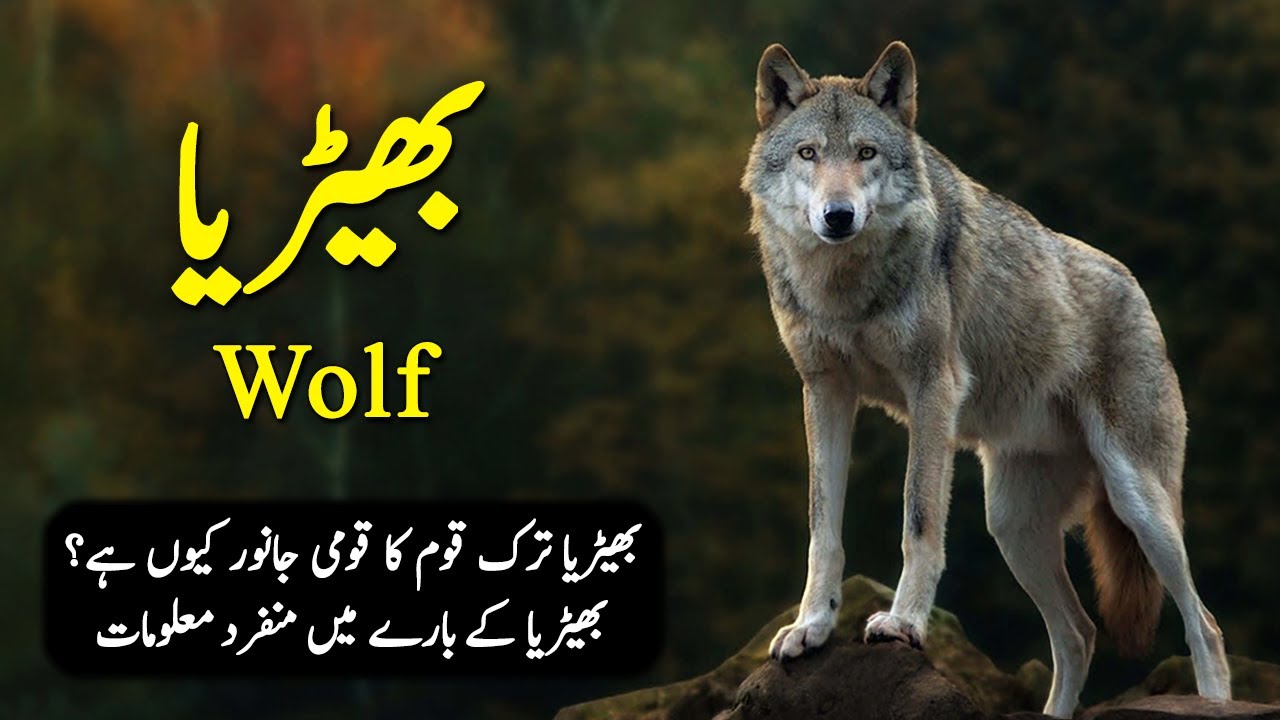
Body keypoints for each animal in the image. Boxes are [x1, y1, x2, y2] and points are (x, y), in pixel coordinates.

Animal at [740, 40, 1232, 718]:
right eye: (809, 153)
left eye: (865, 153)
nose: (838, 216)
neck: (845, 288)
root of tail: (1138, 291)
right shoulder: (824, 391)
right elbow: (824, 529)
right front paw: (812, 626)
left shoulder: (933, 390)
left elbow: (918, 520)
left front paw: (903, 623)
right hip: (1011, 523)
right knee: (1078, 633)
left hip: (1139, 501)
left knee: (1203, 624)